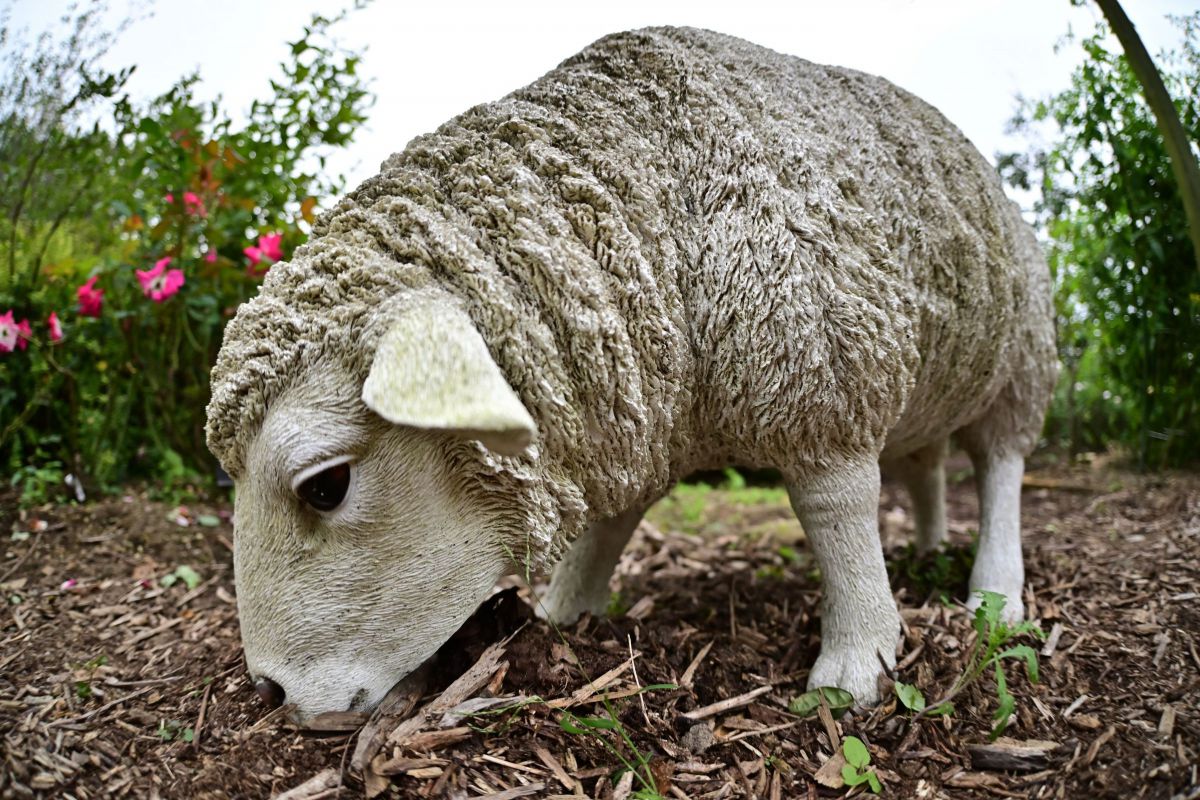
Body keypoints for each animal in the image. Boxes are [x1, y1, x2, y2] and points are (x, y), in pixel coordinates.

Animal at [206, 26, 1056, 722]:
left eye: (325, 485)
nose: (268, 692)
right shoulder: (640, 405)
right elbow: (611, 527)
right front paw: (561, 613)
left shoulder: (820, 374)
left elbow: (834, 511)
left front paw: (857, 661)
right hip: (934, 387)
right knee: (925, 464)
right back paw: (926, 544)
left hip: (1022, 360)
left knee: (1001, 464)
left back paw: (993, 591)